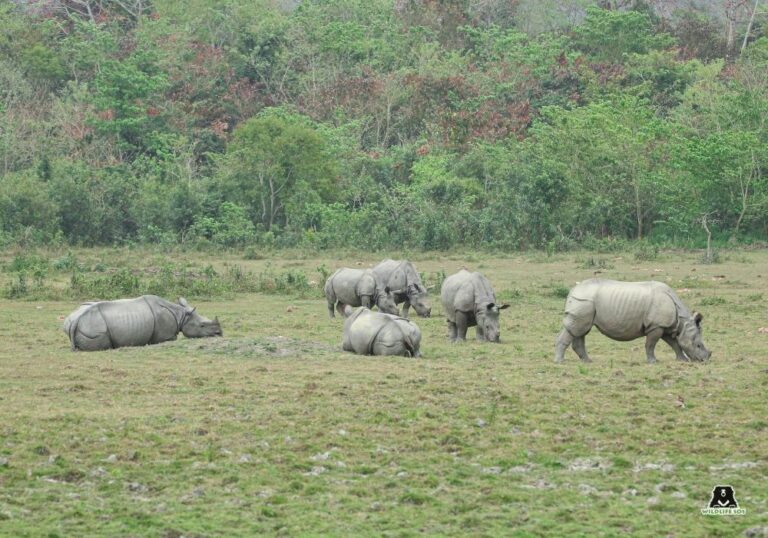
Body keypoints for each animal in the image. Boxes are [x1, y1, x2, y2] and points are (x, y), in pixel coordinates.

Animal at [63, 295, 222, 351]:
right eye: (202, 325)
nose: (220, 333)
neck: (181, 315)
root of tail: (74, 320)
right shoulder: (166, 336)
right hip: (94, 328)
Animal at [554, 279, 712, 363]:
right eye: (698, 345)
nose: (704, 360)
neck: (683, 322)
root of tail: (572, 290)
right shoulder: (656, 325)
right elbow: (651, 344)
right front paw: (653, 362)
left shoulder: (665, 326)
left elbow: (675, 343)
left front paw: (682, 360)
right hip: (583, 301)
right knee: (576, 329)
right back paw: (560, 361)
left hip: (585, 304)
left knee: (580, 330)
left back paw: (588, 361)